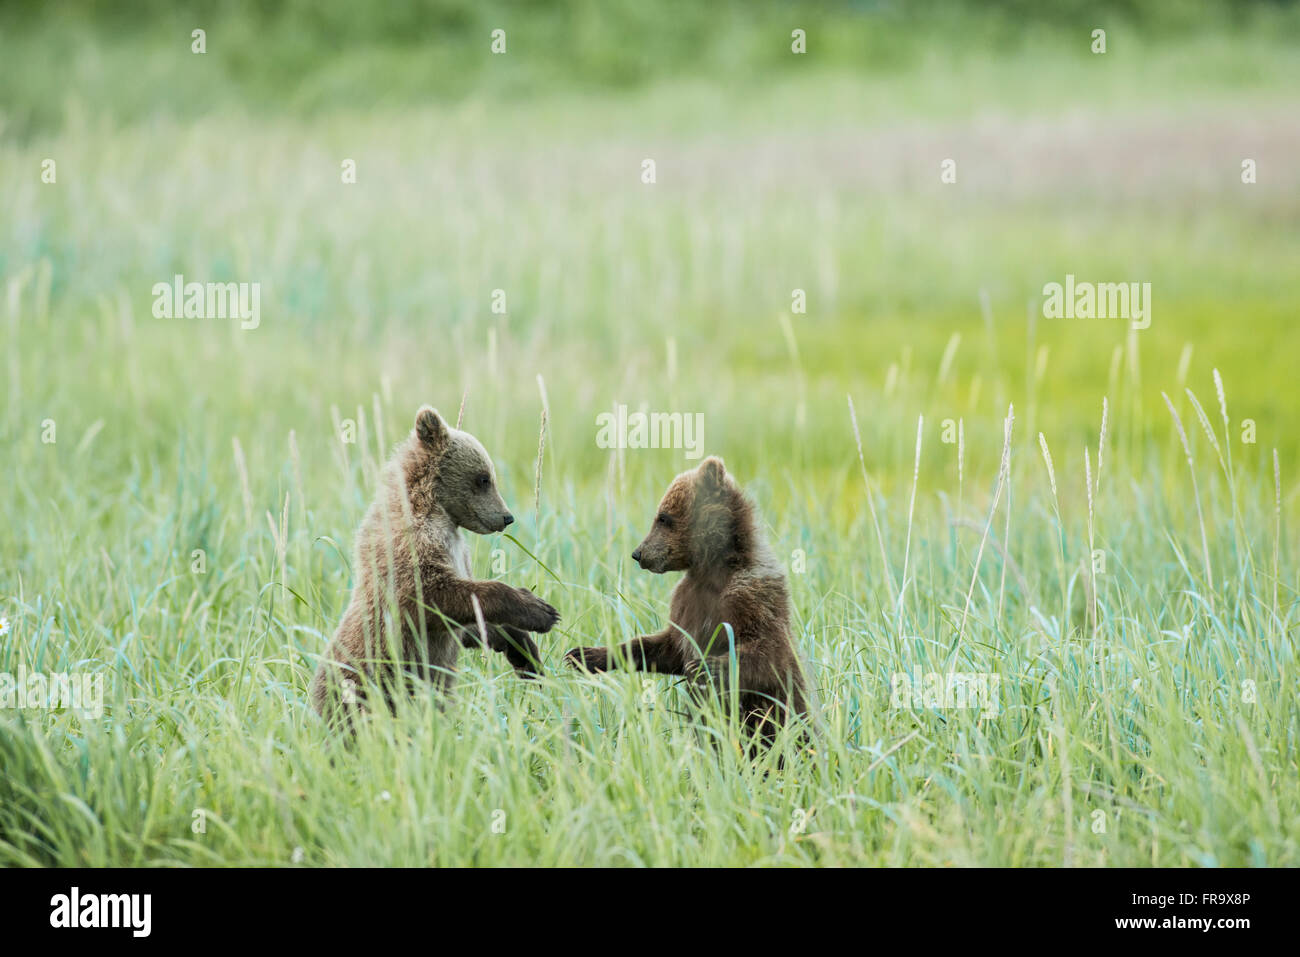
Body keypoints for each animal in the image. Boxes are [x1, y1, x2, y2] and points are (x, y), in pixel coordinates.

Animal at [310, 405, 560, 728]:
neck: (436, 511)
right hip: (363, 685)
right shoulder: (410, 551)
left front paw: (523, 650)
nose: (507, 517)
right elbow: (436, 594)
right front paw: (540, 611)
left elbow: (468, 624)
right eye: (484, 478)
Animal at [564, 456, 809, 749]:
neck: (712, 571)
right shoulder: (686, 602)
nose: (638, 553)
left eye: (664, 517)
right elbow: (666, 647)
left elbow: (768, 651)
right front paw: (584, 655)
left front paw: (707, 666)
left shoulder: (751, 596)